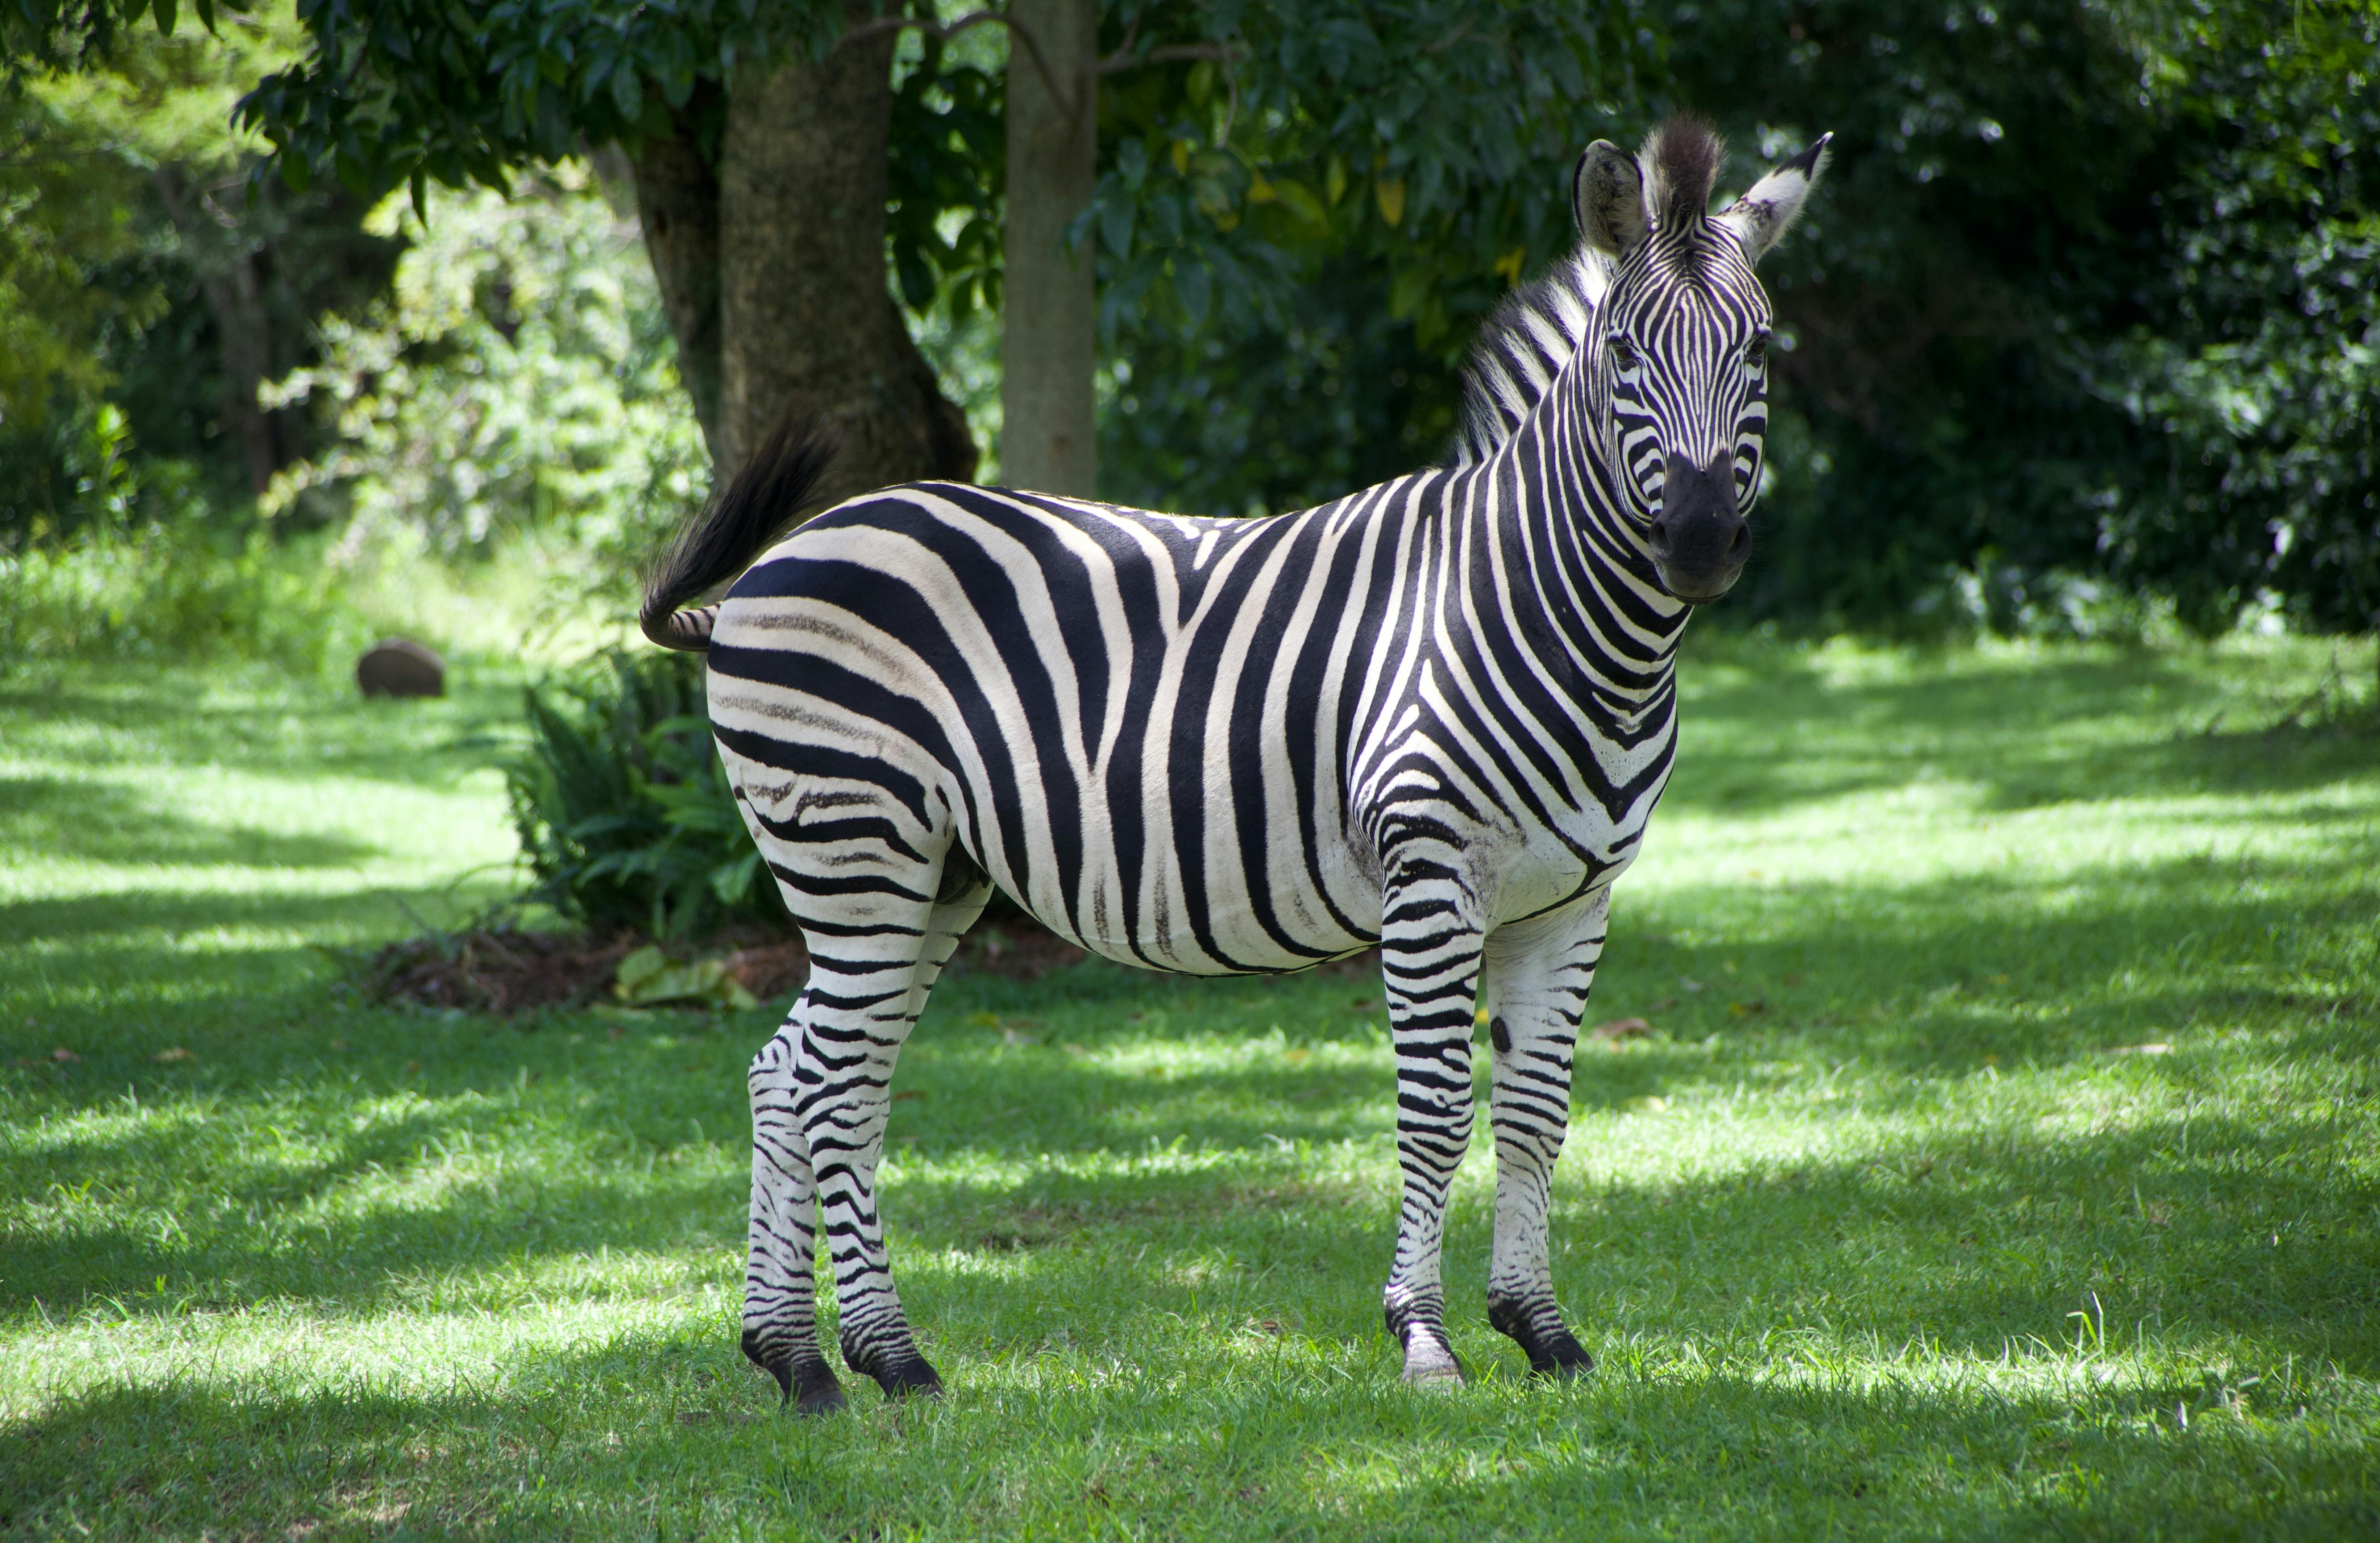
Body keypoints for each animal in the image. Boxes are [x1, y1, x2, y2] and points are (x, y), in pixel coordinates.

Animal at [639, 115, 1830, 1411]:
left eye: (1754, 347)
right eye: (1621, 351)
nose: (1700, 542)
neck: (1550, 616)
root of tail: (773, 566)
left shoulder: (1569, 898)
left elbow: (1533, 1116)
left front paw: (1542, 1330)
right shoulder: (1429, 878)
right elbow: (1433, 1113)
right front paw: (1424, 1337)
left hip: (925, 875)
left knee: (790, 1075)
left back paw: (796, 1357)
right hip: (856, 846)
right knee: (831, 1086)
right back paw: (885, 1356)